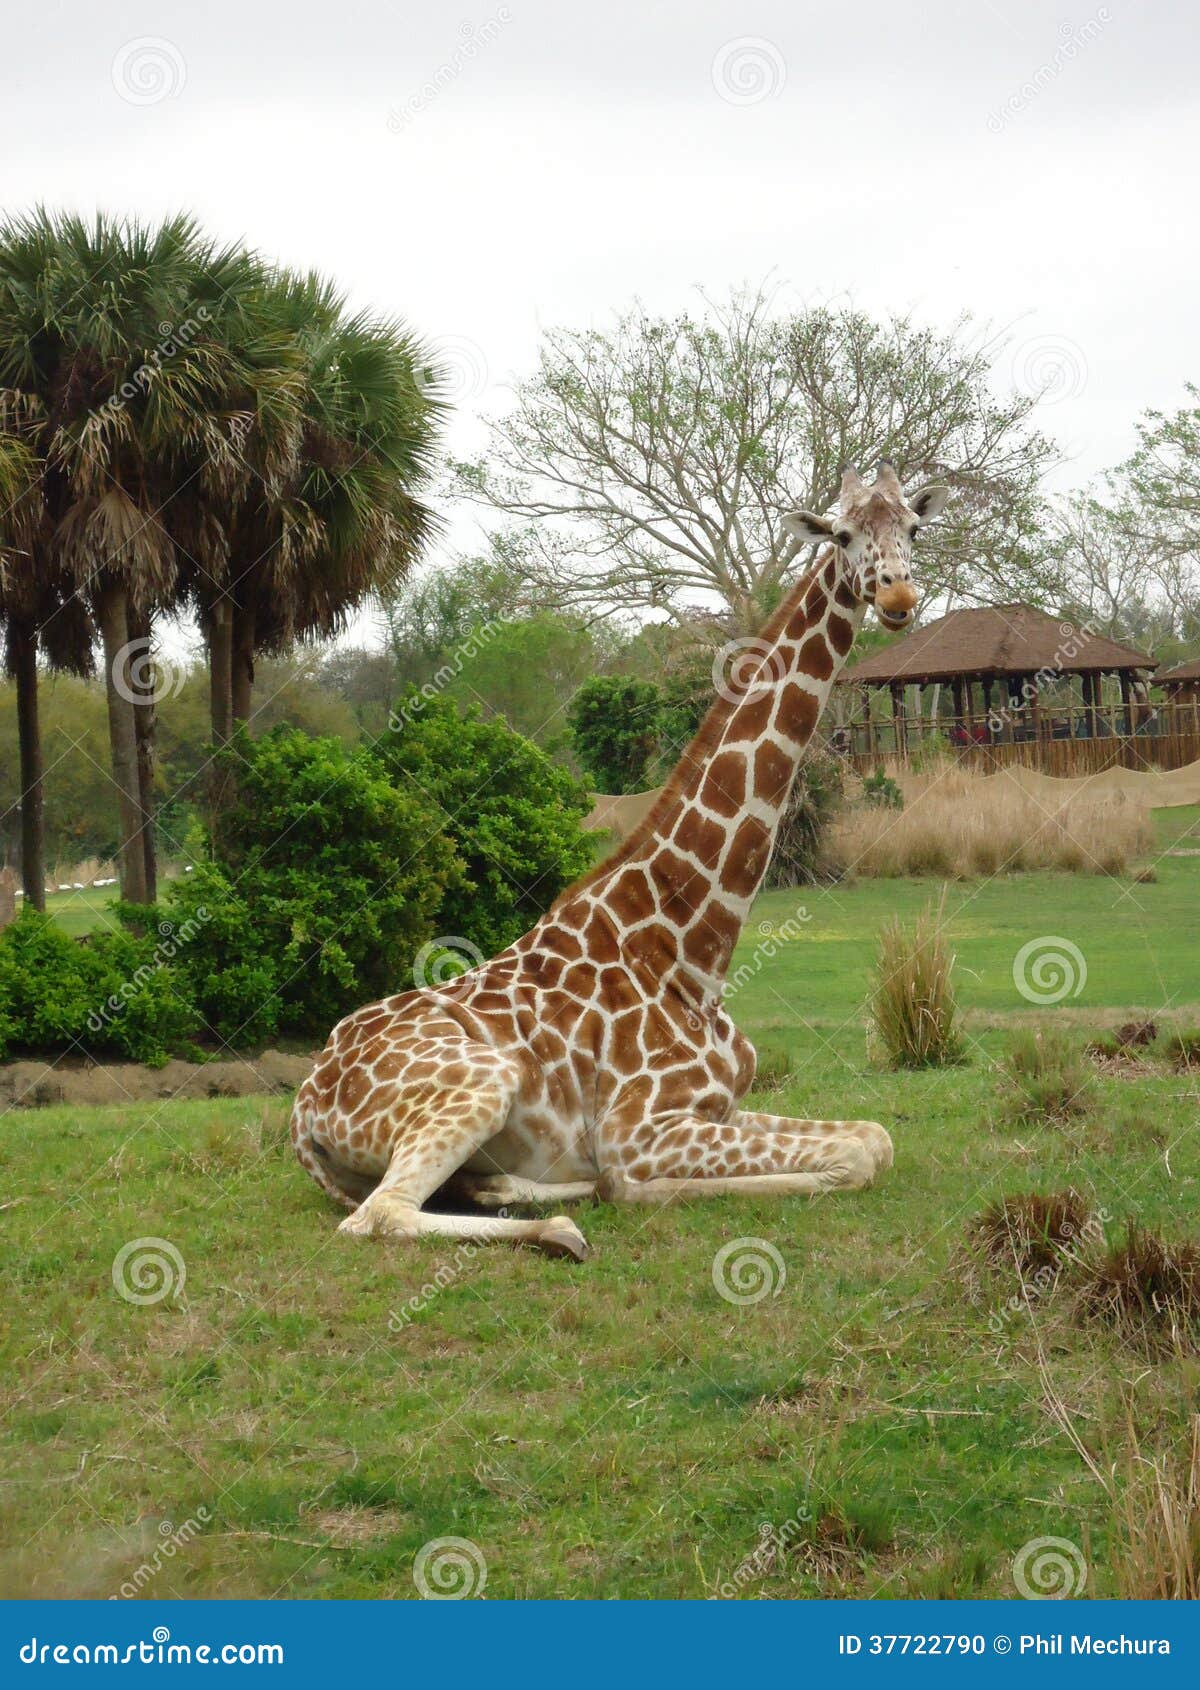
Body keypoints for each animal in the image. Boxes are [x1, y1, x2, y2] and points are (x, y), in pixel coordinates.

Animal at [291, 462, 951, 1259]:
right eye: (845, 534)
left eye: (912, 528)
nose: (898, 597)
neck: (692, 946)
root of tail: (303, 1107)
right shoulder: (642, 1127)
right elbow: (853, 1154)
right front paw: (635, 1190)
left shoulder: (721, 1107)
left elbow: (873, 1137)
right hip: (483, 1080)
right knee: (378, 1213)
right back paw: (562, 1229)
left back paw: (520, 1191)